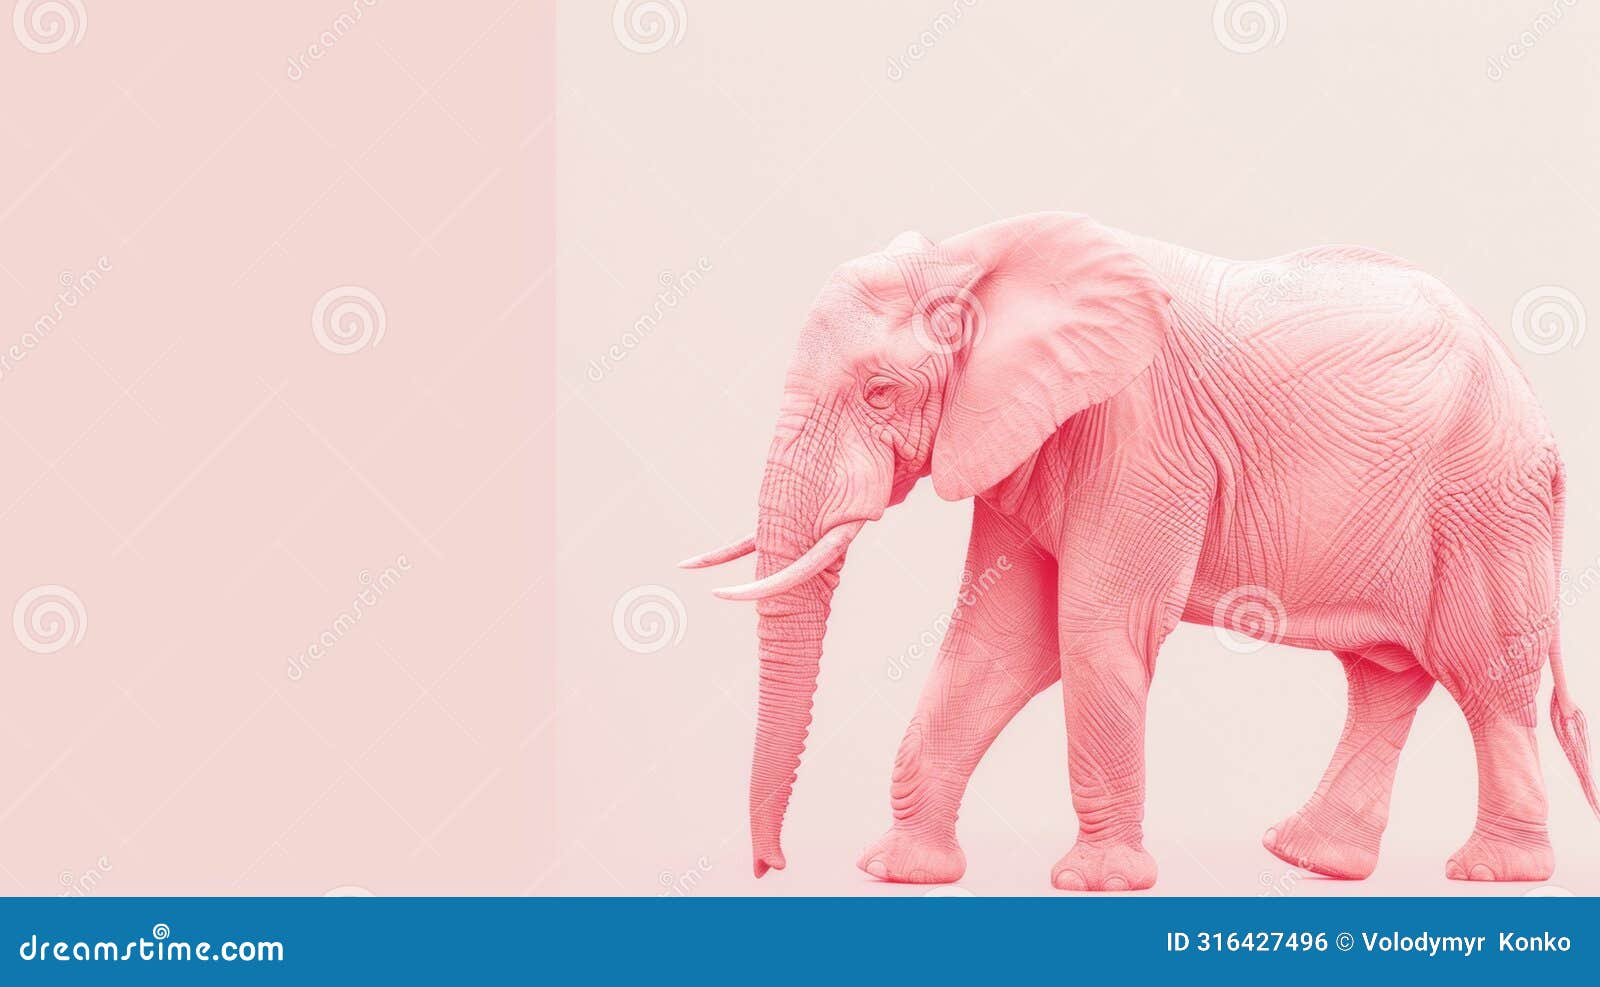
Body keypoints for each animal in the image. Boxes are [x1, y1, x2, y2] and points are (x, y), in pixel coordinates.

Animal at [680, 212, 1598, 891]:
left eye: (880, 393)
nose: (769, 868)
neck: (970, 256)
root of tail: (1542, 419)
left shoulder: (1141, 436)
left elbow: (1093, 626)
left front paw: (1097, 883)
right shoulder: (1022, 441)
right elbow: (1001, 640)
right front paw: (900, 872)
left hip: (1483, 503)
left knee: (1484, 674)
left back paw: (1493, 872)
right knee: (1385, 677)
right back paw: (1308, 858)